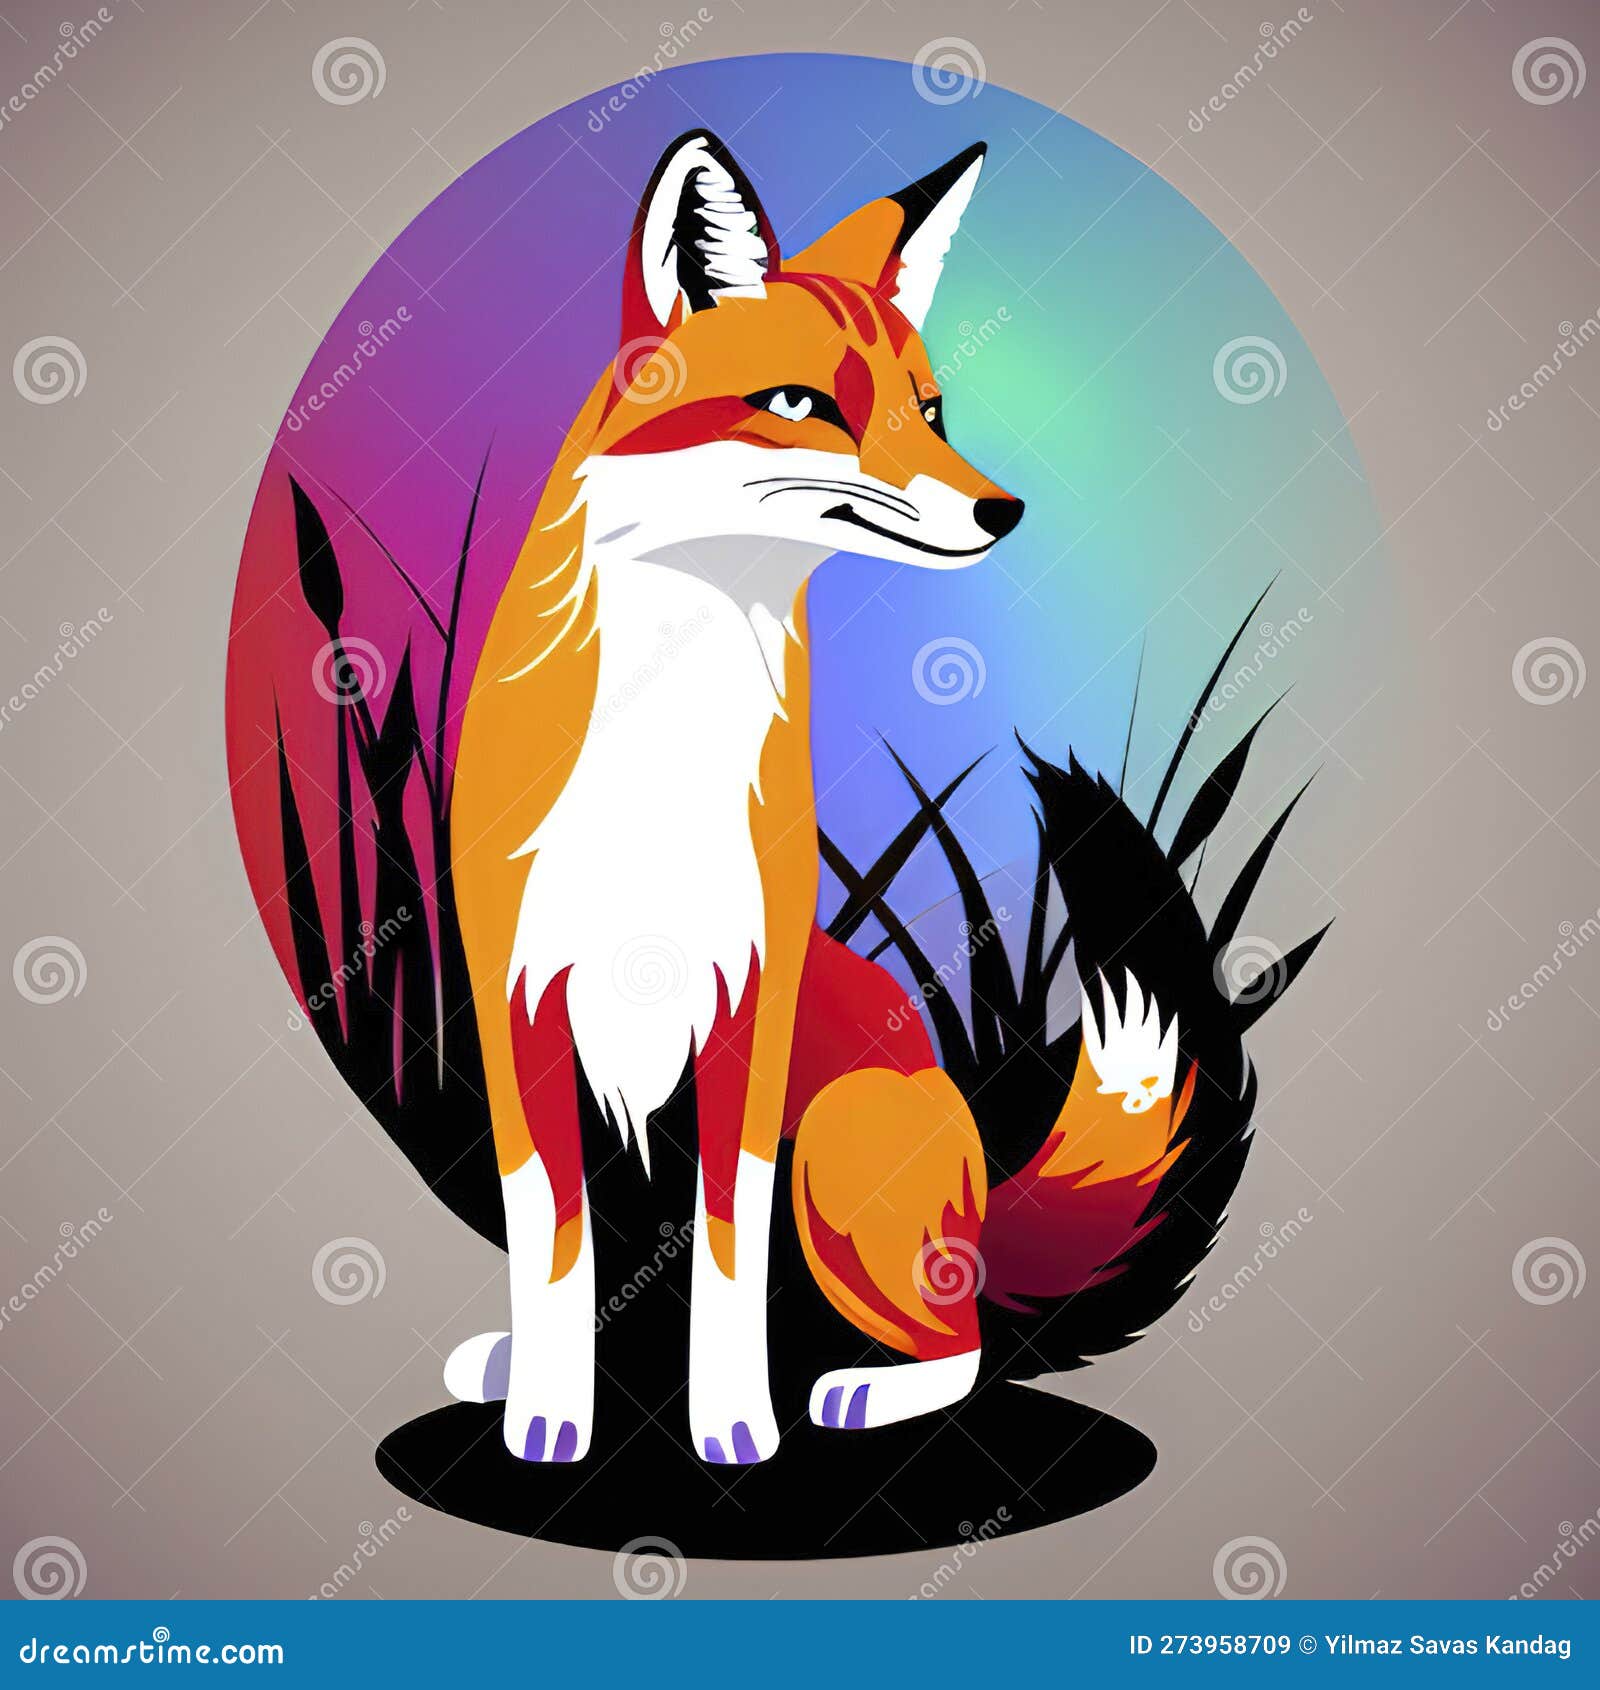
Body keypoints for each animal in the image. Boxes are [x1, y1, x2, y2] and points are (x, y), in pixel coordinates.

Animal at [444, 131, 1195, 1467]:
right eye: (801, 405)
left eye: (929, 410)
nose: (1001, 508)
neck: (659, 755)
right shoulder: (515, 1000)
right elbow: (553, 1246)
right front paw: (550, 1412)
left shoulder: (750, 1002)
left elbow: (726, 1255)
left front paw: (733, 1427)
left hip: (838, 1147)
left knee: (963, 1341)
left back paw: (853, 1390)